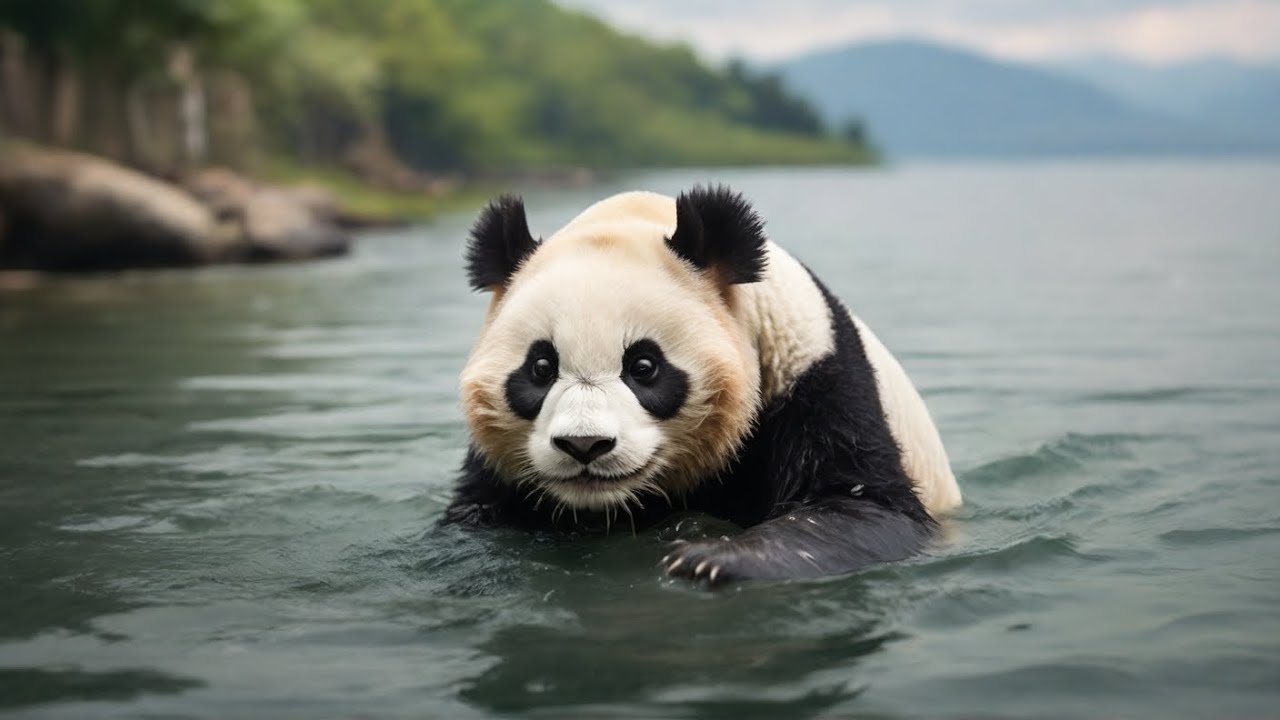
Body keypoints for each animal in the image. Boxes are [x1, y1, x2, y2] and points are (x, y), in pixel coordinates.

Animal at [442, 186, 961, 584]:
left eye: (644, 366)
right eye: (541, 368)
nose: (584, 444)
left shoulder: (815, 375)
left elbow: (863, 506)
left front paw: (710, 559)